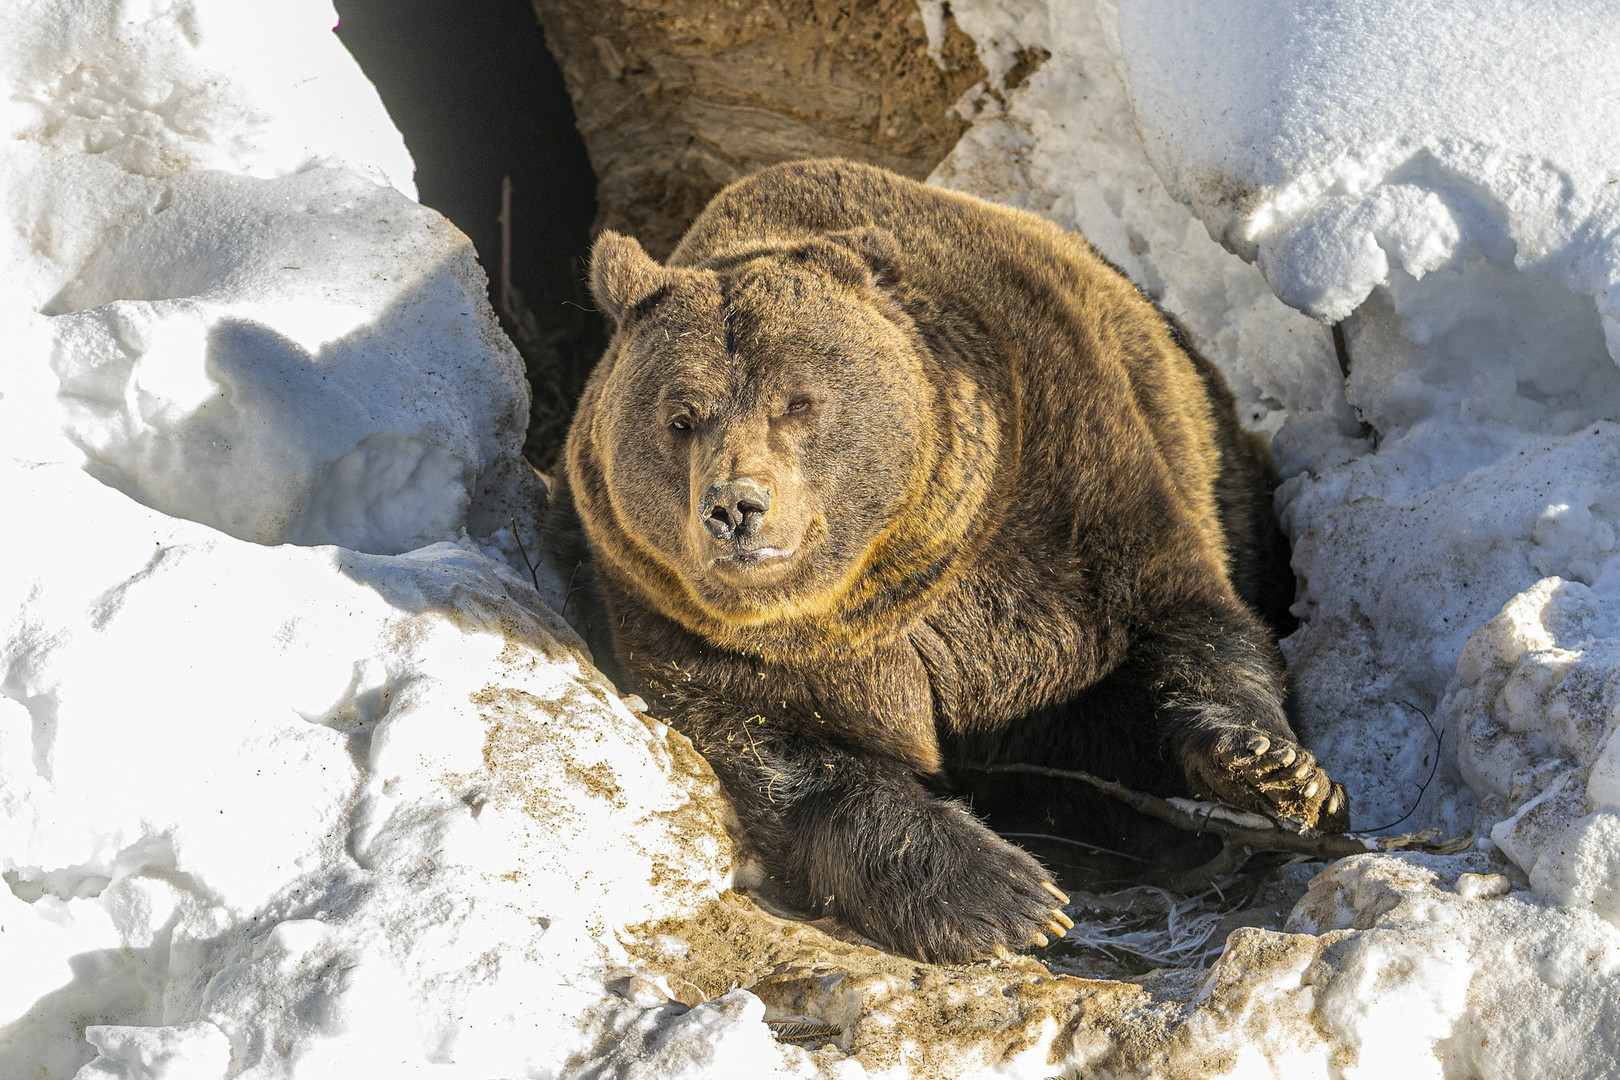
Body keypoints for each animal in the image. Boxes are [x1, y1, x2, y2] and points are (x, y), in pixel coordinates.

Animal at [550, 158, 1347, 965]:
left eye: (799, 403)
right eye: (681, 417)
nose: (735, 505)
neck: (889, 582)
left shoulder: (1072, 475)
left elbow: (1179, 624)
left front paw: (1273, 768)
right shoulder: (683, 627)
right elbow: (787, 759)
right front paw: (1009, 898)